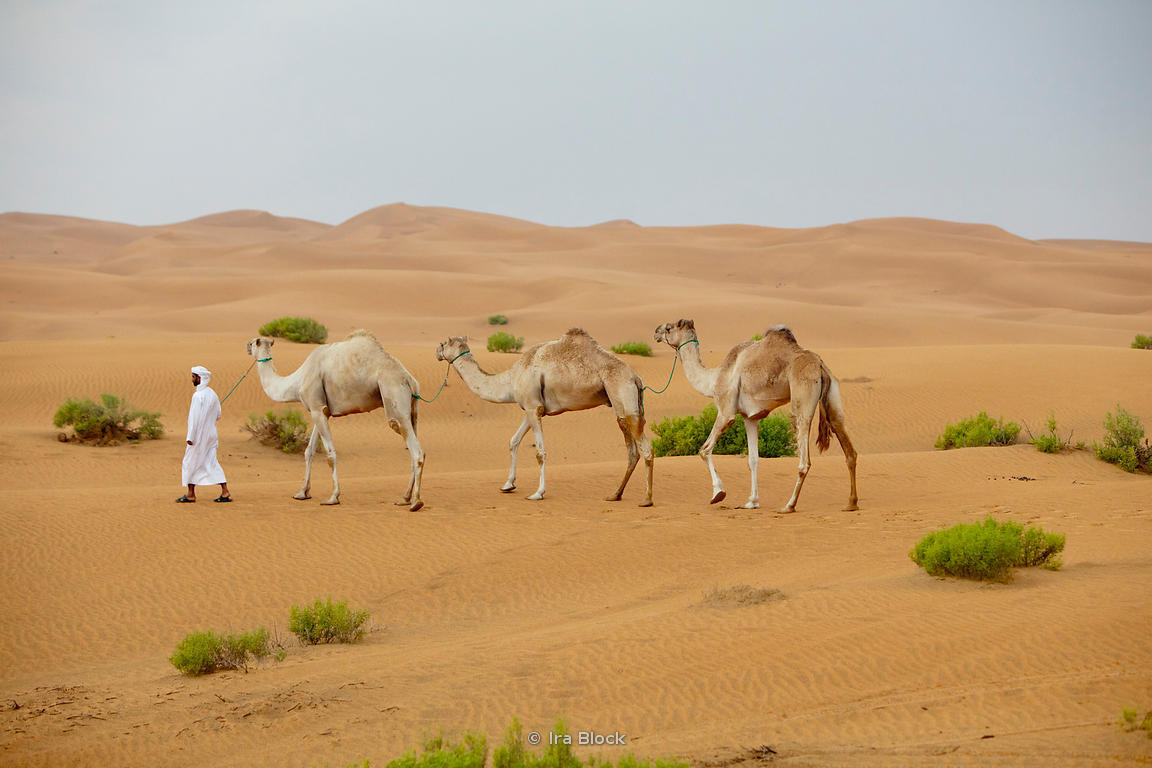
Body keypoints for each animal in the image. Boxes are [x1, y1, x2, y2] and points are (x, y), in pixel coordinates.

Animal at [245, 330, 425, 510]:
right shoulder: (322, 411)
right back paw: (405, 497)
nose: (246, 346)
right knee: (413, 449)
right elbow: (309, 451)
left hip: (393, 394)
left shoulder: (316, 408)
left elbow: (330, 454)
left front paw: (333, 497)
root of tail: (410, 380)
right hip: (412, 411)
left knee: (415, 449)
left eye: (253, 342)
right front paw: (302, 493)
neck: (298, 380)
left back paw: (416, 502)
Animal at [434, 328, 654, 506]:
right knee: (632, 451)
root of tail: (635, 377)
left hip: (622, 393)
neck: (511, 378)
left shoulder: (533, 407)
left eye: (443, 343)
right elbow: (513, 441)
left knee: (645, 447)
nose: (437, 352)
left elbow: (540, 452)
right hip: (621, 403)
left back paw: (646, 499)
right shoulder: (531, 408)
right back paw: (615, 494)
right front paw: (508, 484)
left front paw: (537, 493)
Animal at [653, 319, 858, 513]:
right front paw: (751, 502)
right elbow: (753, 459)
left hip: (802, 398)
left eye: (669, 328)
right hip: (833, 399)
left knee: (804, 459)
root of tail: (821, 367)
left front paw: (718, 493)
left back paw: (789, 506)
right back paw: (851, 503)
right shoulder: (751, 417)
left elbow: (704, 449)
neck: (714, 379)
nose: (656, 331)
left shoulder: (726, 411)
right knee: (848, 448)